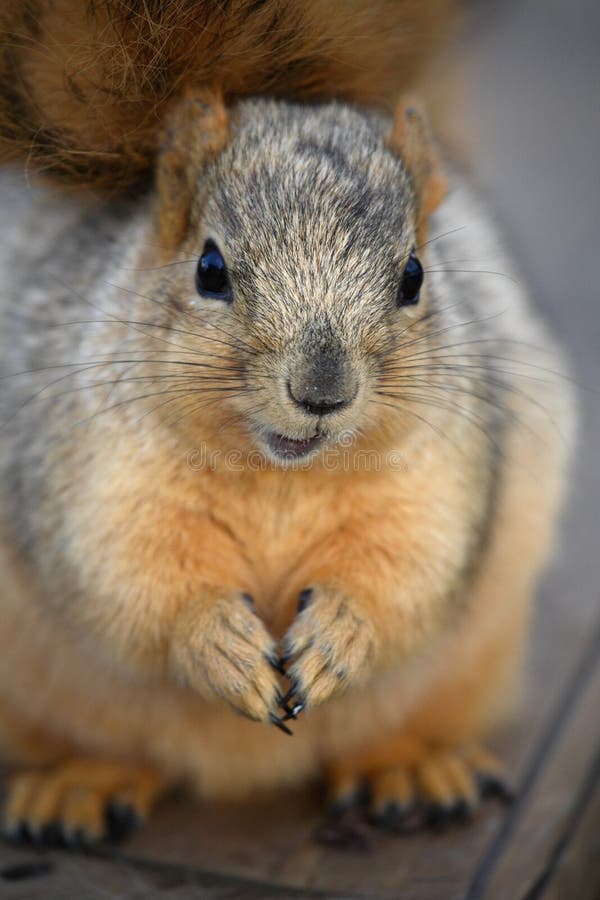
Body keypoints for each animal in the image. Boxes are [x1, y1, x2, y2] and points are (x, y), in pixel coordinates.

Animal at [0, 1, 574, 846]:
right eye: (209, 270)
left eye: (414, 277)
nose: (323, 391)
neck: (278, 479)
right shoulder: (91, 476)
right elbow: (132, 578)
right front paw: (216, 641)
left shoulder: (439, 477)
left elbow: (408, 571)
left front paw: (342, 633)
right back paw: (78, 782)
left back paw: (409, 768)